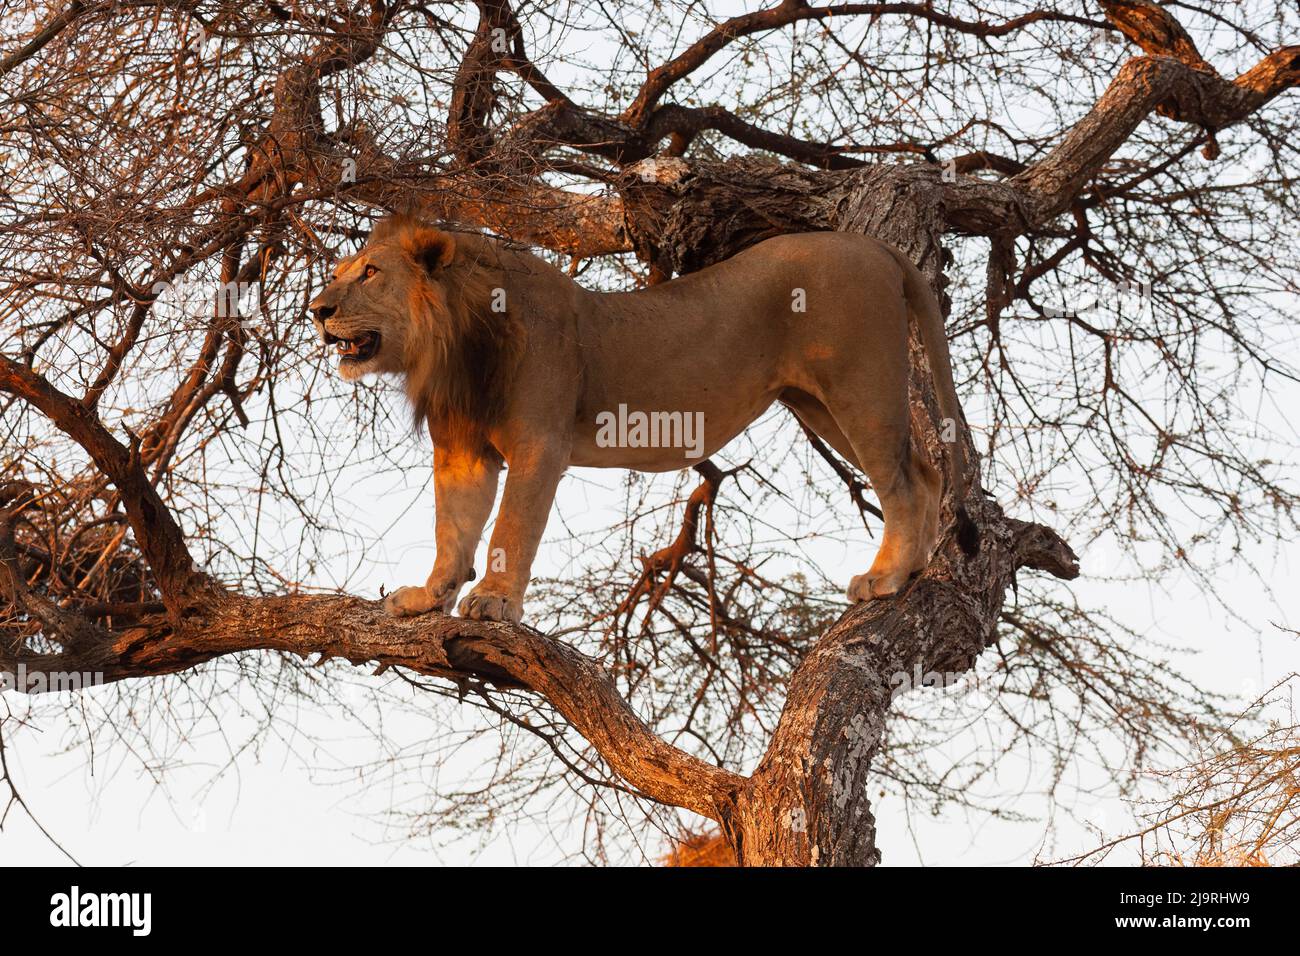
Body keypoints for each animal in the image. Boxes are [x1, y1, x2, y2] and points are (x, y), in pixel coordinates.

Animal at [308, 215, 978, 624]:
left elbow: (510, 530)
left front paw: (493, 603)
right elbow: (453, 528)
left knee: (903, 480)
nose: (315, 309)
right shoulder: (463, 452)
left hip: (857, 388)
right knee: (924, 470)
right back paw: (914, 569)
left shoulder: (539, 440)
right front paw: (430, 598)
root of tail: (873, 246)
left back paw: (887, 577)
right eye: (337, 274)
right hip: (816, 401)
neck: (450, 344)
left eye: (371, 272)